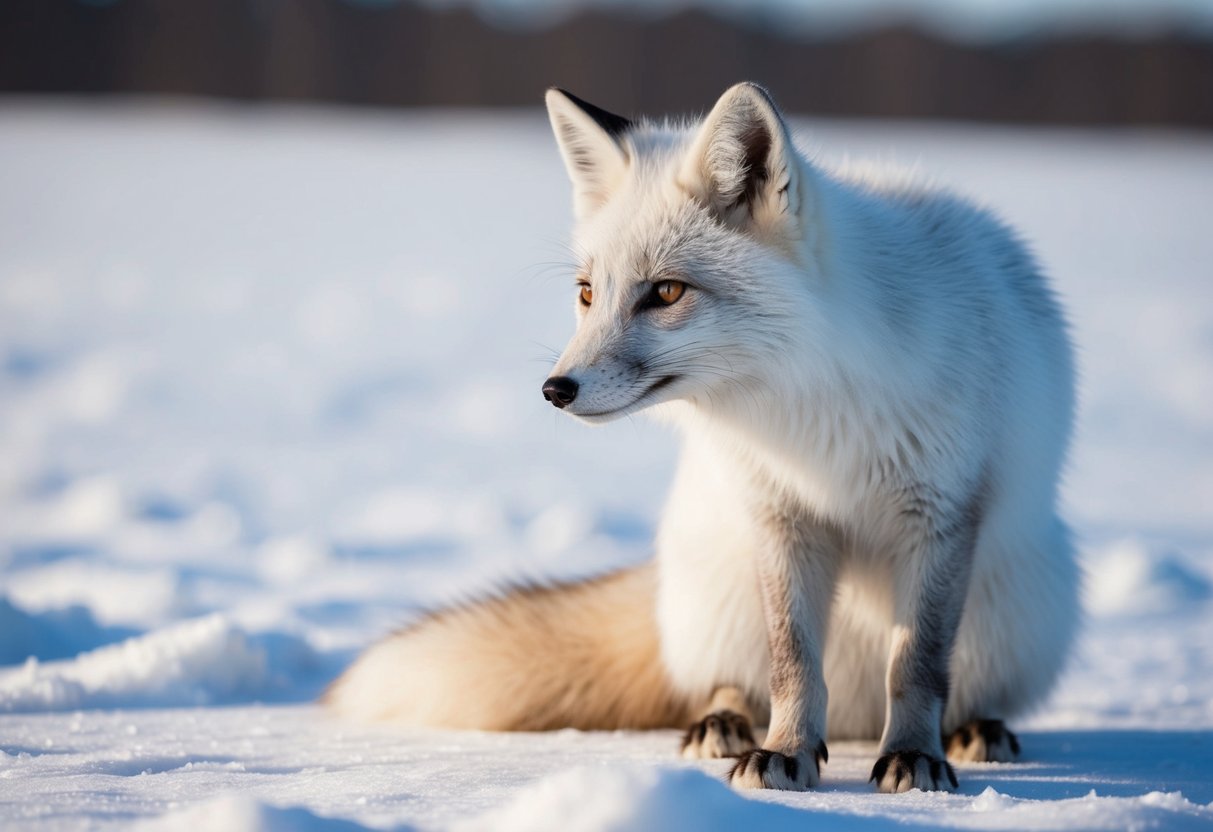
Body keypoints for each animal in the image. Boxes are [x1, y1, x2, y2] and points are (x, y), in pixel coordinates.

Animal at [325, 83, 1079, 794]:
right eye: (587, 292)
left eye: (664, 292)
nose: (555, 389)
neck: (816, 405)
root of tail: (855, 716)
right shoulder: (779, 513)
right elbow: (792, 661)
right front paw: (786, 753)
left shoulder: (940, 514)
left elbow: (917, 664)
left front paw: (913, 757)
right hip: (724, 586)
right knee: (732, 677)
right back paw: (724, 722)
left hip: (1015, 611)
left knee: (954, 683)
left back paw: (972, 729)